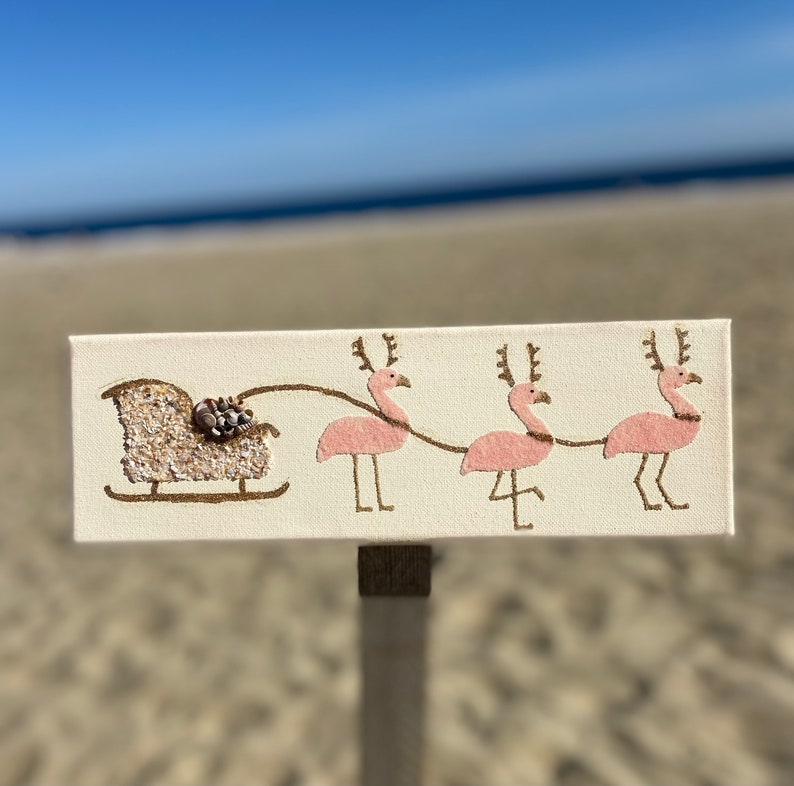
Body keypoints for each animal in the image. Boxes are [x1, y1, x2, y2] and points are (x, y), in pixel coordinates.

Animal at [316, 334, 412, 512]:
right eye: (392, 375)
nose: (407, 382)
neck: (390, 423)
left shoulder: (373, 452)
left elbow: (375, 469)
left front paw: (383, 505)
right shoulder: (363, 449)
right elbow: (362, 470)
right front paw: (366, 507)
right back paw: (360, 507)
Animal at [461, 343, 553, 530]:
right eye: (532, 390)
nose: (547, 398)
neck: (534, 438)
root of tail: (467, 459)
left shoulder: (513, 468)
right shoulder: (512, 465)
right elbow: (511, 493)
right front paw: (524, 522)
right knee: (493, 495)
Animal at [604, 326, 702, 510]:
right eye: (681, 373)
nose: (698, 379)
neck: (679, 421)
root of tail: (608, 439)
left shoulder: (665, 452)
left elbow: (658, 478)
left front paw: (675, 505)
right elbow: (652, 478)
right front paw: (665, 504)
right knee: (637, 478)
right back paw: (650, 505)